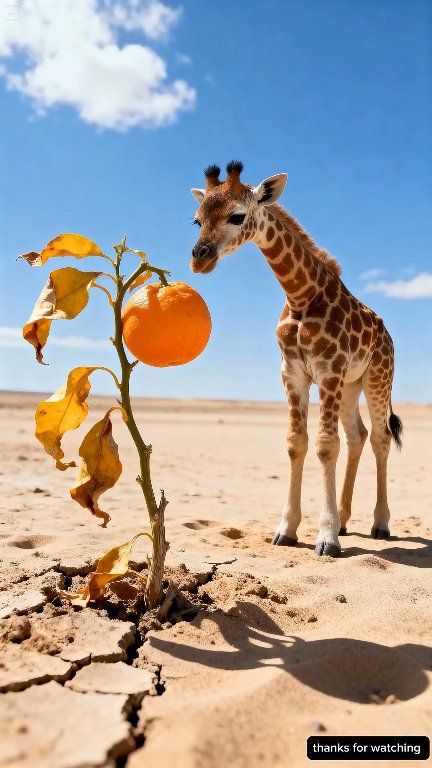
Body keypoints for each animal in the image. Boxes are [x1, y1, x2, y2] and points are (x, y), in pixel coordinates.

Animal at [190, 161, 402, 557]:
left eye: (237, 216)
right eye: (197, 220)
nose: (200, 258)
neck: (301, 296)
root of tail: (388, 336)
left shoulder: (329, 370)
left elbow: (325, 446)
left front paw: (327, 538)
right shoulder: (292, 373)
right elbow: (295, 443)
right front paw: (287, 530)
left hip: (378, 378)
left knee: (380, 437)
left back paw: (380, 524)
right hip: (351, 386)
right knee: (358, 435)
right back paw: (347, 519)